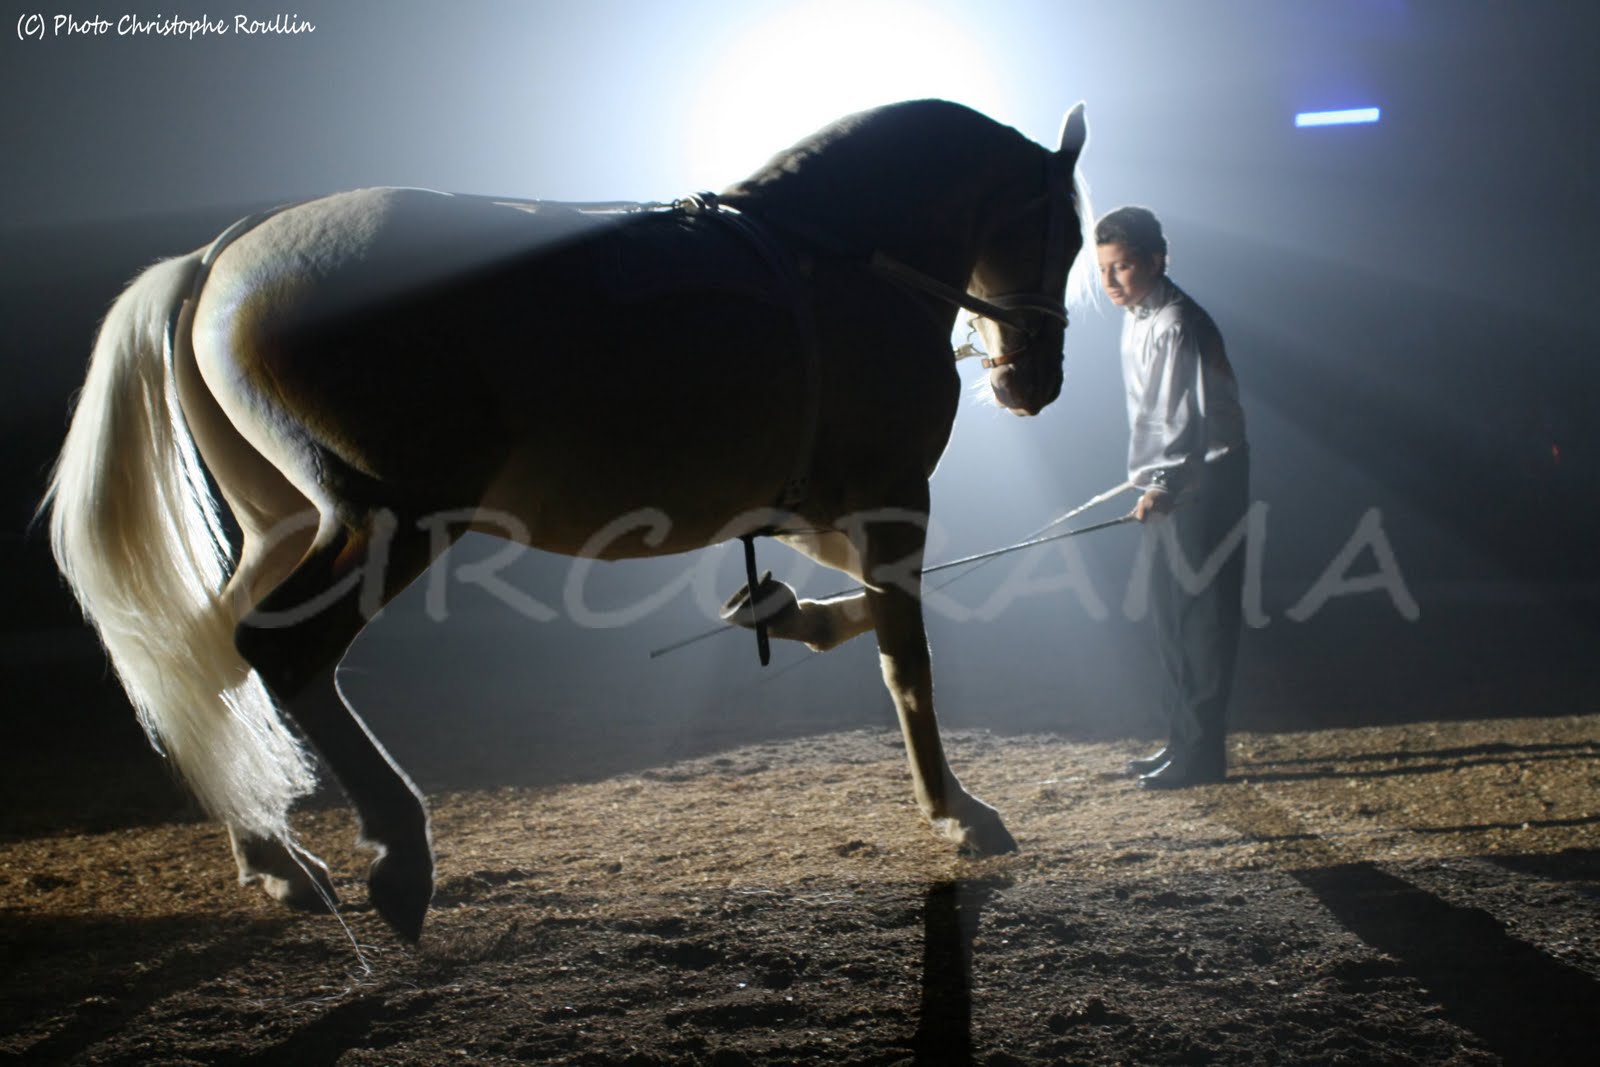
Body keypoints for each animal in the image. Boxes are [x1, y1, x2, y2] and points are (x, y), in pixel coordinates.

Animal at [42, 99, 1093, 942]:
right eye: (1070, 233)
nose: (1035, 382)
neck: (834, 260)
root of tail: (218, 258)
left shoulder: (818, 510)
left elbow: (865, 617)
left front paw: (779, 611)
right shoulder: (892, 500)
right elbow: (907, 655)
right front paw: (958, 812)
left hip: (292, 526)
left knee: (210, 656)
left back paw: (278, 864)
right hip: (392, 518)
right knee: (281, 650)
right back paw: (398, 857)